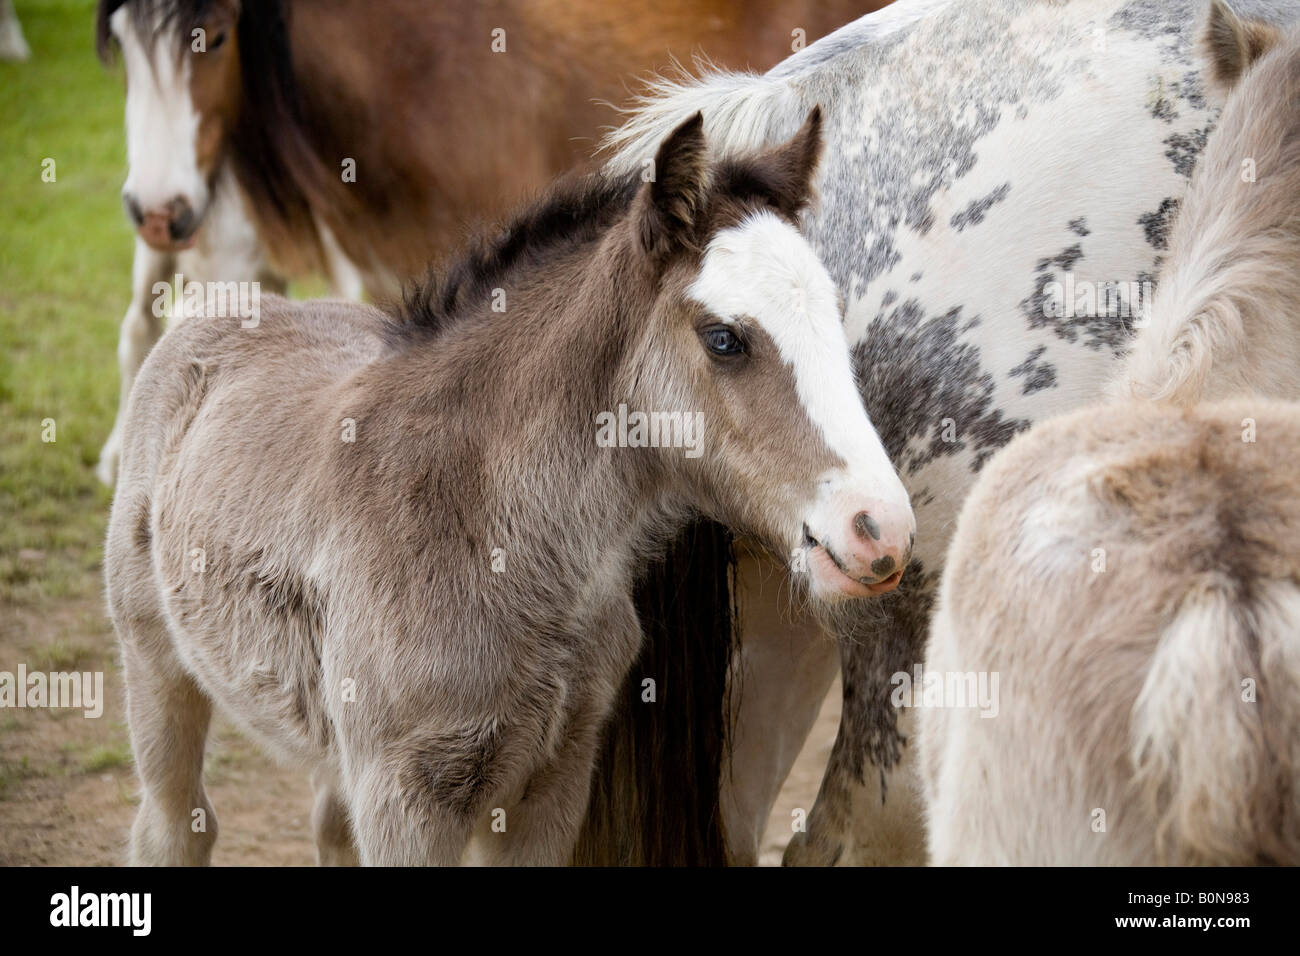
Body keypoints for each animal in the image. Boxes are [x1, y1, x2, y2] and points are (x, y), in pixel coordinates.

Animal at [104, 108, 919, 865]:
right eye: (724, 339)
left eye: (835, 321)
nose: (879, 527)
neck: (487, 528)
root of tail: (225, 310)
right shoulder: (405, 800)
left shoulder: (555, 779)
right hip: (155, 665)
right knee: (173, 823)